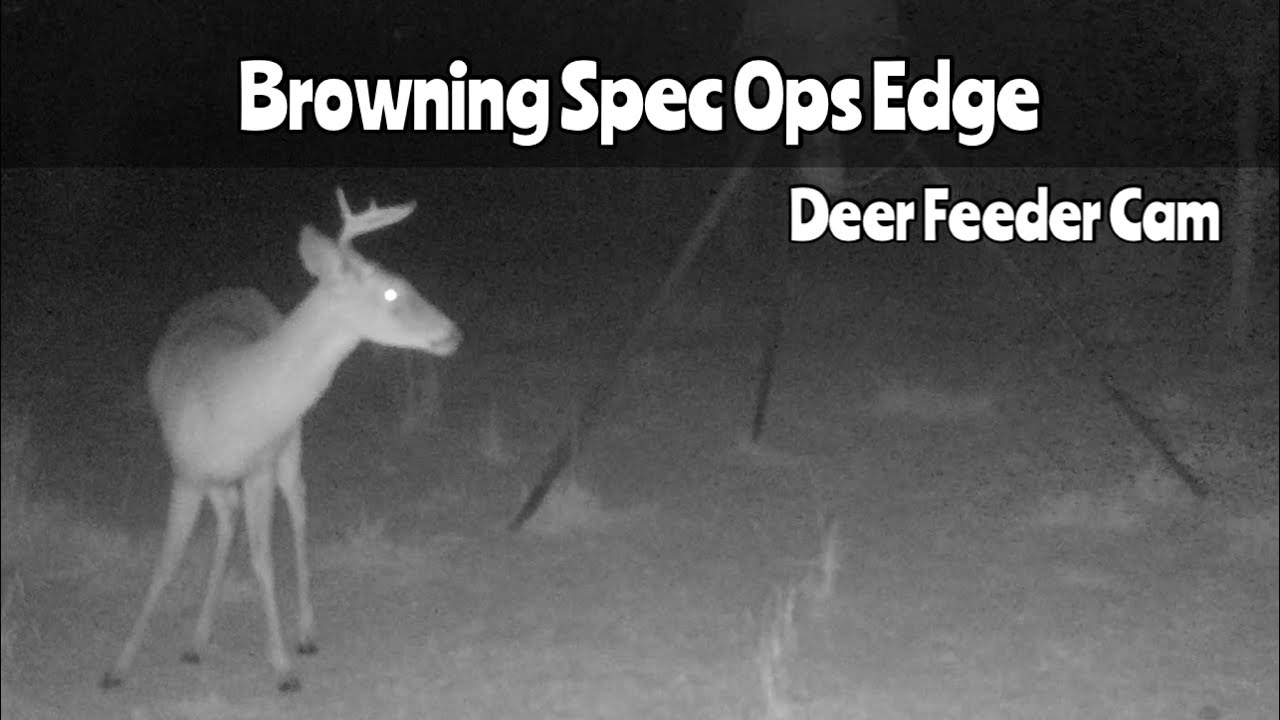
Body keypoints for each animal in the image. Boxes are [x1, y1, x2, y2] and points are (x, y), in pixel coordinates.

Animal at [100, 187, 461, 693]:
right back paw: (197, 641)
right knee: (228, 521)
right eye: (392, 290)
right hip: (219, 477)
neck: (232, 398)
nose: (452, 332)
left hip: (290, 443)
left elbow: (263, 561)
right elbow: (167, 563)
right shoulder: (186, 472)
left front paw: (284, 668)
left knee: (299, 507)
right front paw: (118, 667)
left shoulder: (261, 468)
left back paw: (303, 633)